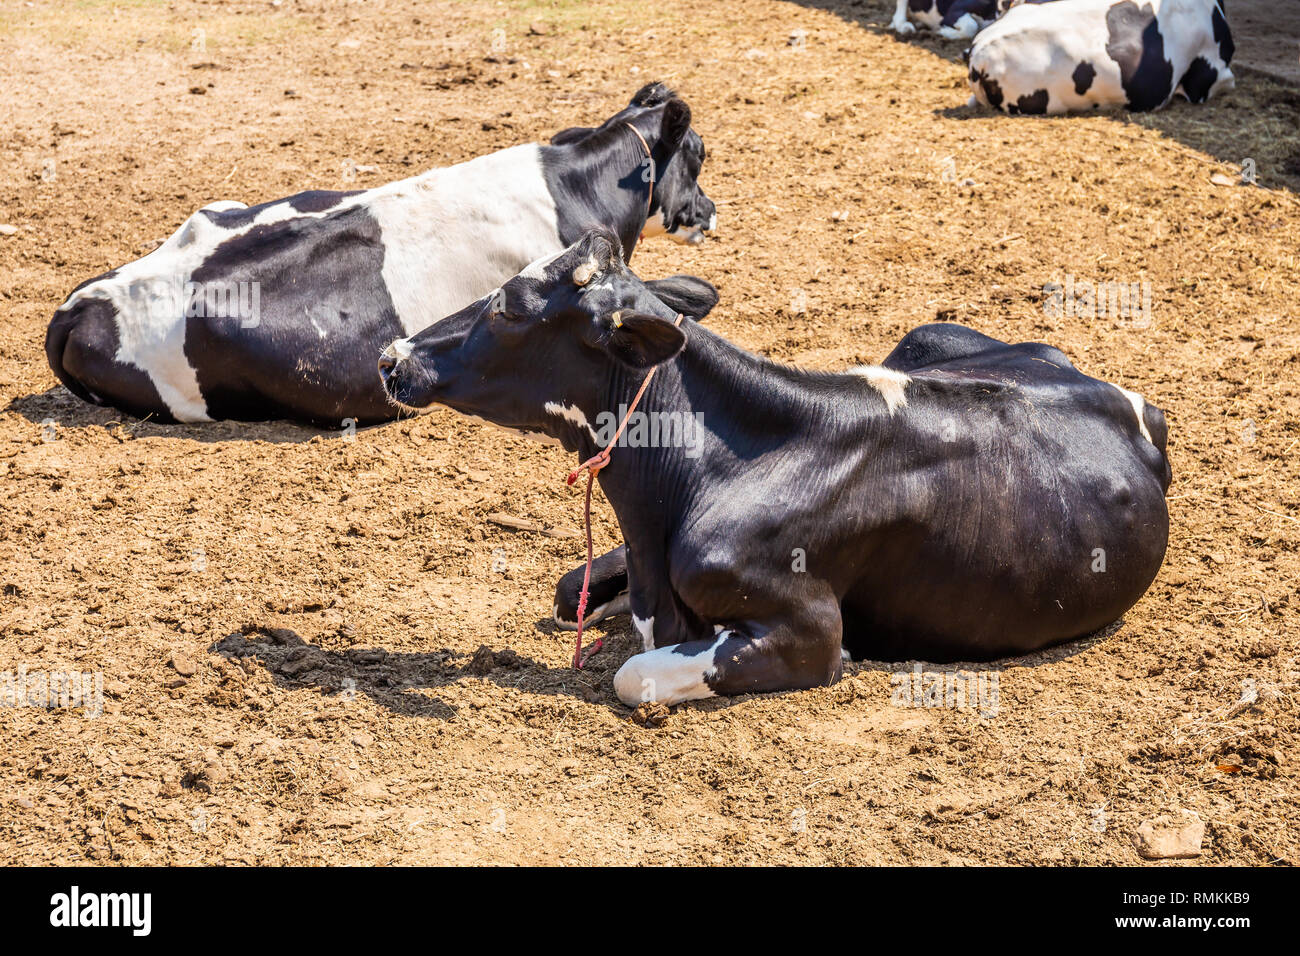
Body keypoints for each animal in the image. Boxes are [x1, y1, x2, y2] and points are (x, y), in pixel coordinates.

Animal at [379, 229, 1172, 707]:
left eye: (510, 309)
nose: (391, 357)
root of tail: (1115, 393)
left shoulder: (810, 631)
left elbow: (636, 675)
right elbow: (573, 589)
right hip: (929, 334)